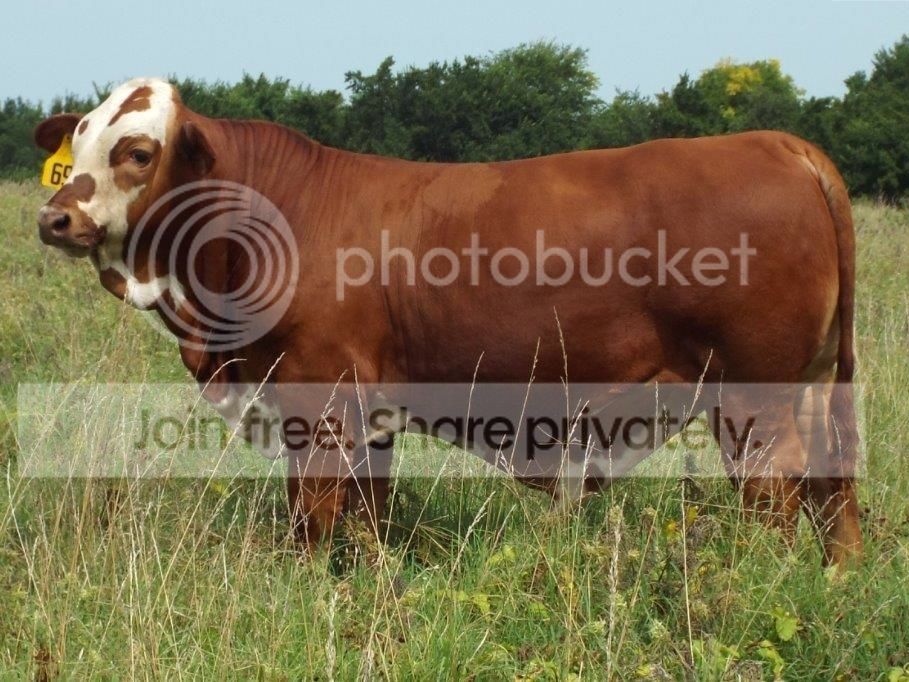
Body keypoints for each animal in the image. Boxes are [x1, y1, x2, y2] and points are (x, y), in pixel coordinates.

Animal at [34, 77, 862, 566]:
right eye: (79, 142)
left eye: (137, 152)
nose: (54, 218)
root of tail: (780, 143)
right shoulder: (363, 408)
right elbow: (366, 514)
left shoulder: (312, 394)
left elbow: (314, 511)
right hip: (813, 384)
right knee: (832, 485)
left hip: (752, 397)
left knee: (775, 493)